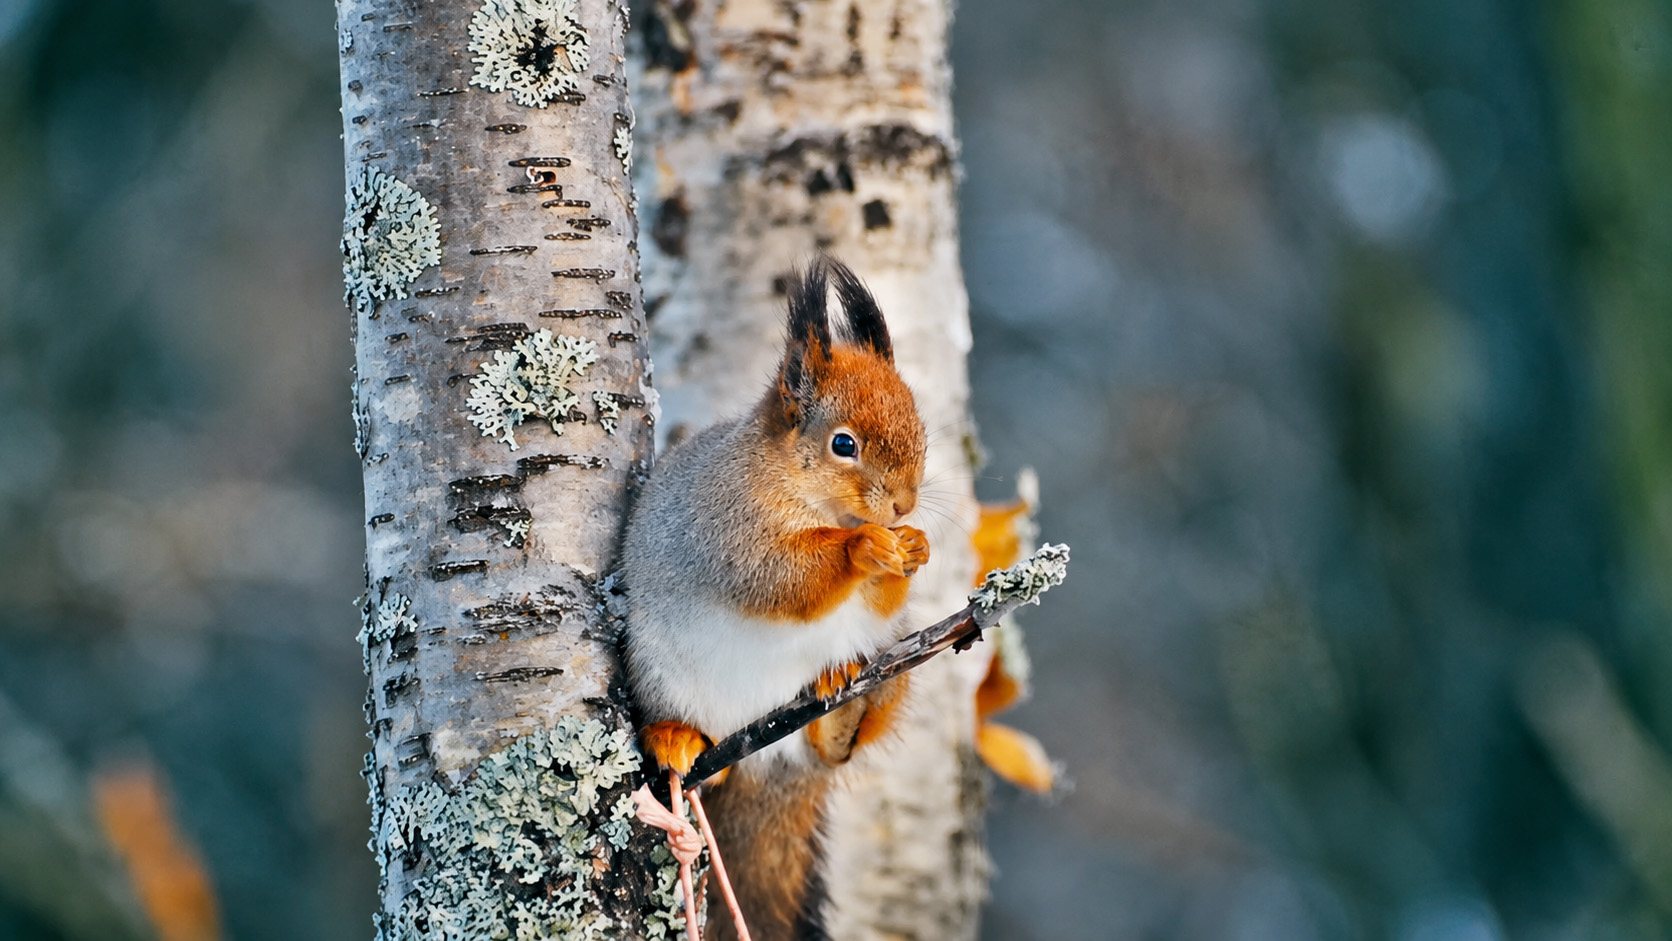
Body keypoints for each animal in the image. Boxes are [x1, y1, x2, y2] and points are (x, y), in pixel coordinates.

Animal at [622, 257, 930, 940]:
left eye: (921, 428)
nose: (904, 505)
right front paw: (863, 548)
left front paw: (912, 549)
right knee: (708, 759)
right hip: (659, 673)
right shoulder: (730, 529)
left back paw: (840, 702)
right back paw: (679, 739)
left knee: (835, 751)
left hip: (886, 669)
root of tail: (769, 764)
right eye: (844, 444)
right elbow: (782, 580)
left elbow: (876, 603)